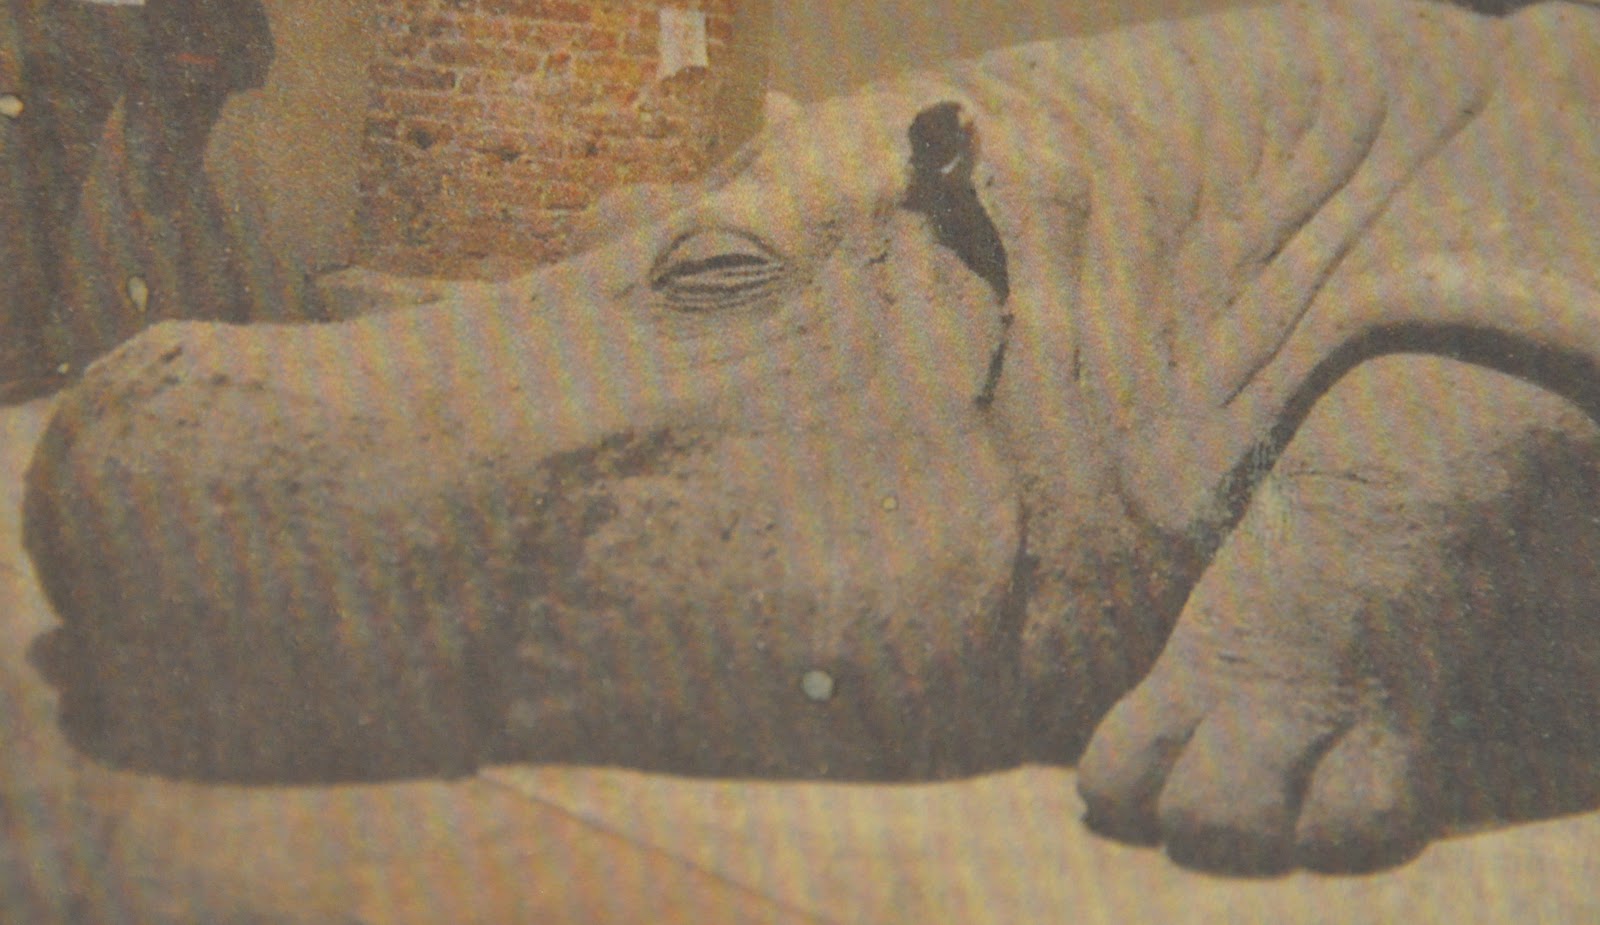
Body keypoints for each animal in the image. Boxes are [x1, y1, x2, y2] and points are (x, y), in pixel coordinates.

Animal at [19, 0, 1600, 875]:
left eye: (716, 276)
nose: (115, 393)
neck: (1141, 270)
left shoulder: (1529, 262)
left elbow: (1422, 422)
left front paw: (1196, 810)